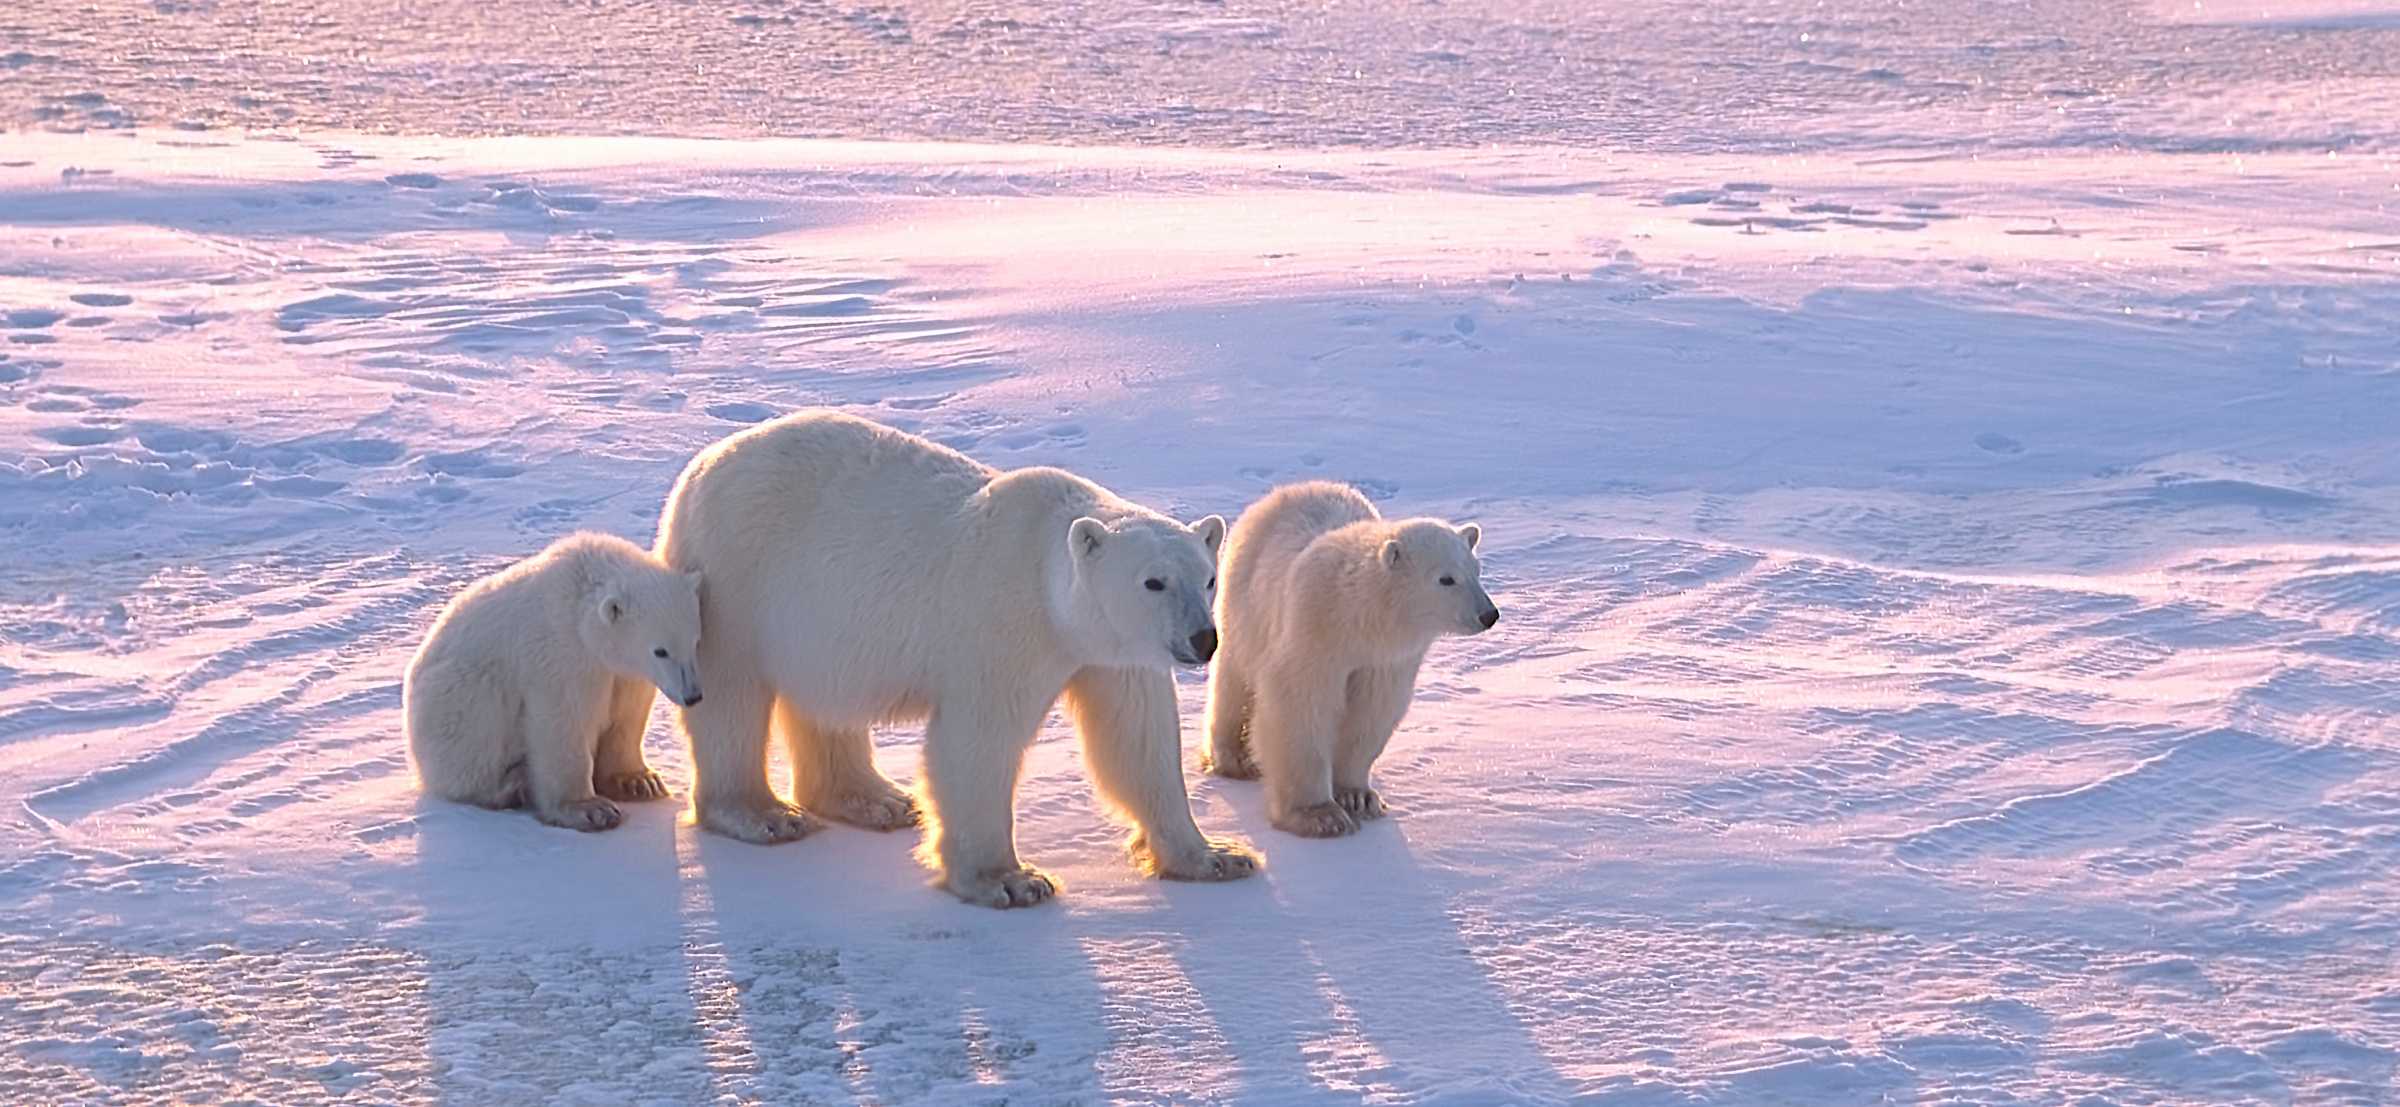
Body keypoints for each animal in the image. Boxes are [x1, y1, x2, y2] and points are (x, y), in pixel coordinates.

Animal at [404, 532, 704, 832]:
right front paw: (590, 809)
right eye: (660, 651)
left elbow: (628, 714)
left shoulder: (624, 673)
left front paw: (639, 781)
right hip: (453, 696)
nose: (693, 696)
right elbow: (562, 721)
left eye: (695, 642)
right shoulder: (560, 652)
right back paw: (509, 785)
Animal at [653, 409, 1260, 908]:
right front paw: (1010, 881)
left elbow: (1137, 740)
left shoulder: (1112, 653)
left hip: (814, 618)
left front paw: (1217, 856)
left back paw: (875, 800)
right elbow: (979, 739)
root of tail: (700, 466)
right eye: (1153, 582)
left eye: (1208, 578)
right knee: (732, 698)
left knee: (826, 701)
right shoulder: (1003, 624)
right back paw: (764, 814)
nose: (1203, 640)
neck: (1047, 577)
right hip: (737, 577)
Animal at [1202, 481, 1498, 838]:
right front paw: (1319, 815)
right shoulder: (1313, 633)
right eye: (1446, 578)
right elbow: (1298, 706)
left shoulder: (1385, 659)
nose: (1489, 615)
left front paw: (1358, 797)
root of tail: (1288, 489)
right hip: (1245, 596)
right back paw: (1232, 758)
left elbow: (1371, 711)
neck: (1357, 616)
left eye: (1476, 570)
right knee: (1233, 676)